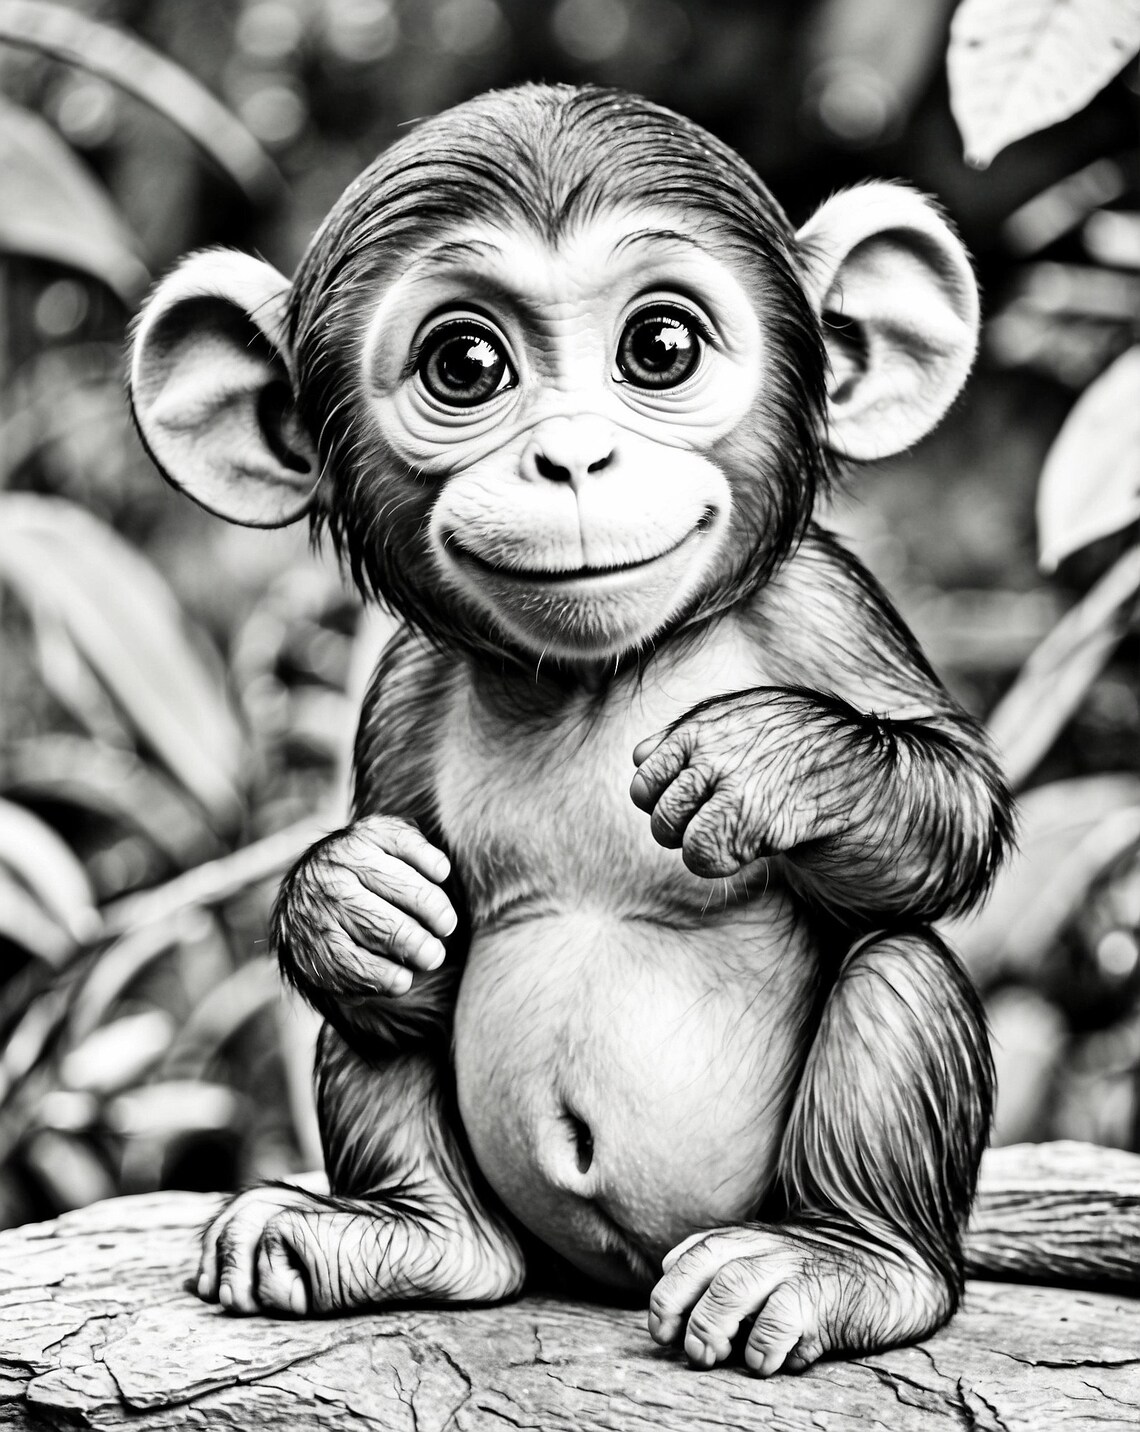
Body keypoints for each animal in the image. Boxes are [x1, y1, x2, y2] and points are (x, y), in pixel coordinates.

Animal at [128, 84, 1014, 1376]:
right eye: (465, 364)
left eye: (660, 348)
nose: (573, 454)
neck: (605, 674)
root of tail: (604, 1276)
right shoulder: (402, 689)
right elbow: (390, 891)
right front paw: (341, 892)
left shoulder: (828, 601)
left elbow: (955, 800)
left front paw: (770, 764)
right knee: (389, 1001)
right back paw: (399, 1231)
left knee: (898, 964)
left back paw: (844, 1261)